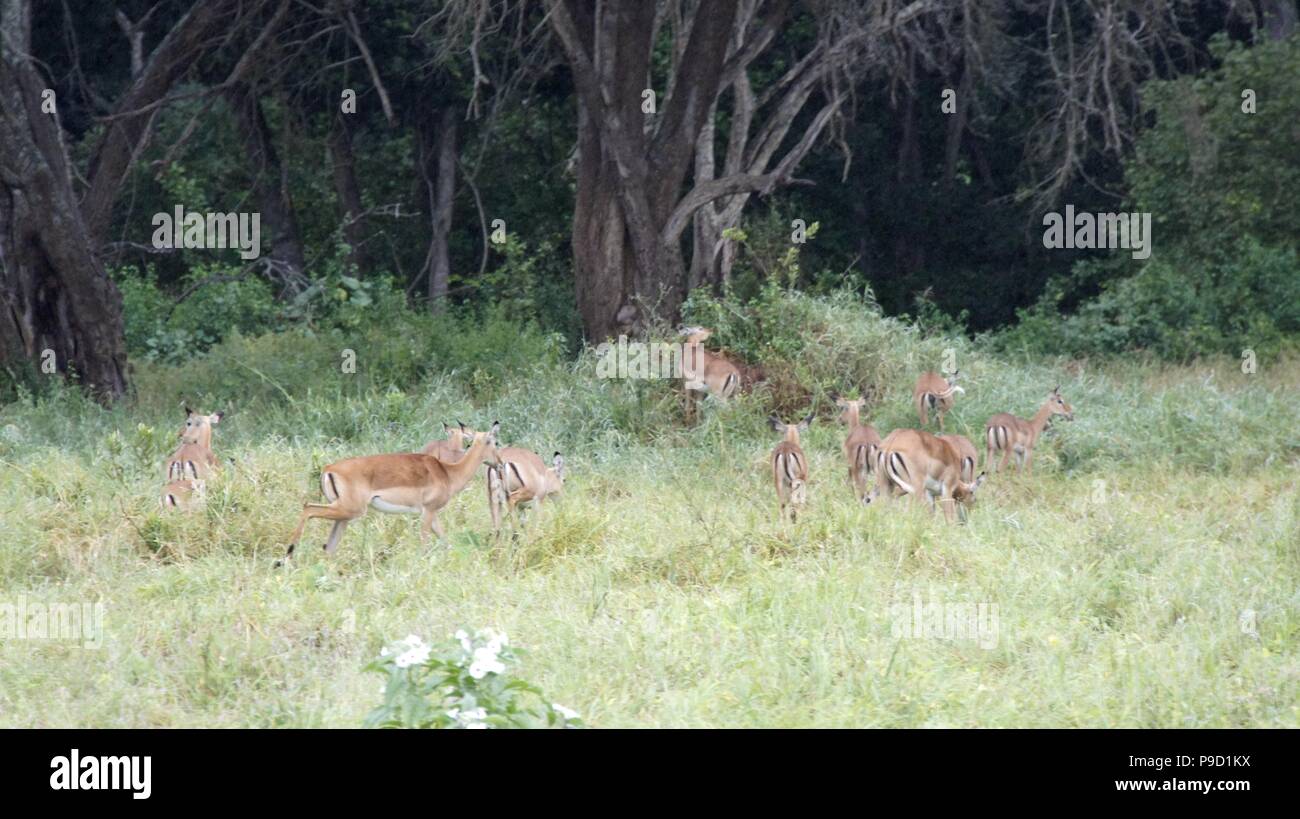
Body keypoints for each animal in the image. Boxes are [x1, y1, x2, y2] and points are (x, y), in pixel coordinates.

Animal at [277, 422, 501, 565]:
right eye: (494, 442)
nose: (499, 463)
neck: (447, 472)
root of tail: (329, 469)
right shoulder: (428, 511)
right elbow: (425, 543)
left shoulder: (432, 514)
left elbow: (445, 541)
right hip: (350, 510)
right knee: (308, 508)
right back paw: (287, 555)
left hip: (343, 516)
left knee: (329, 547)